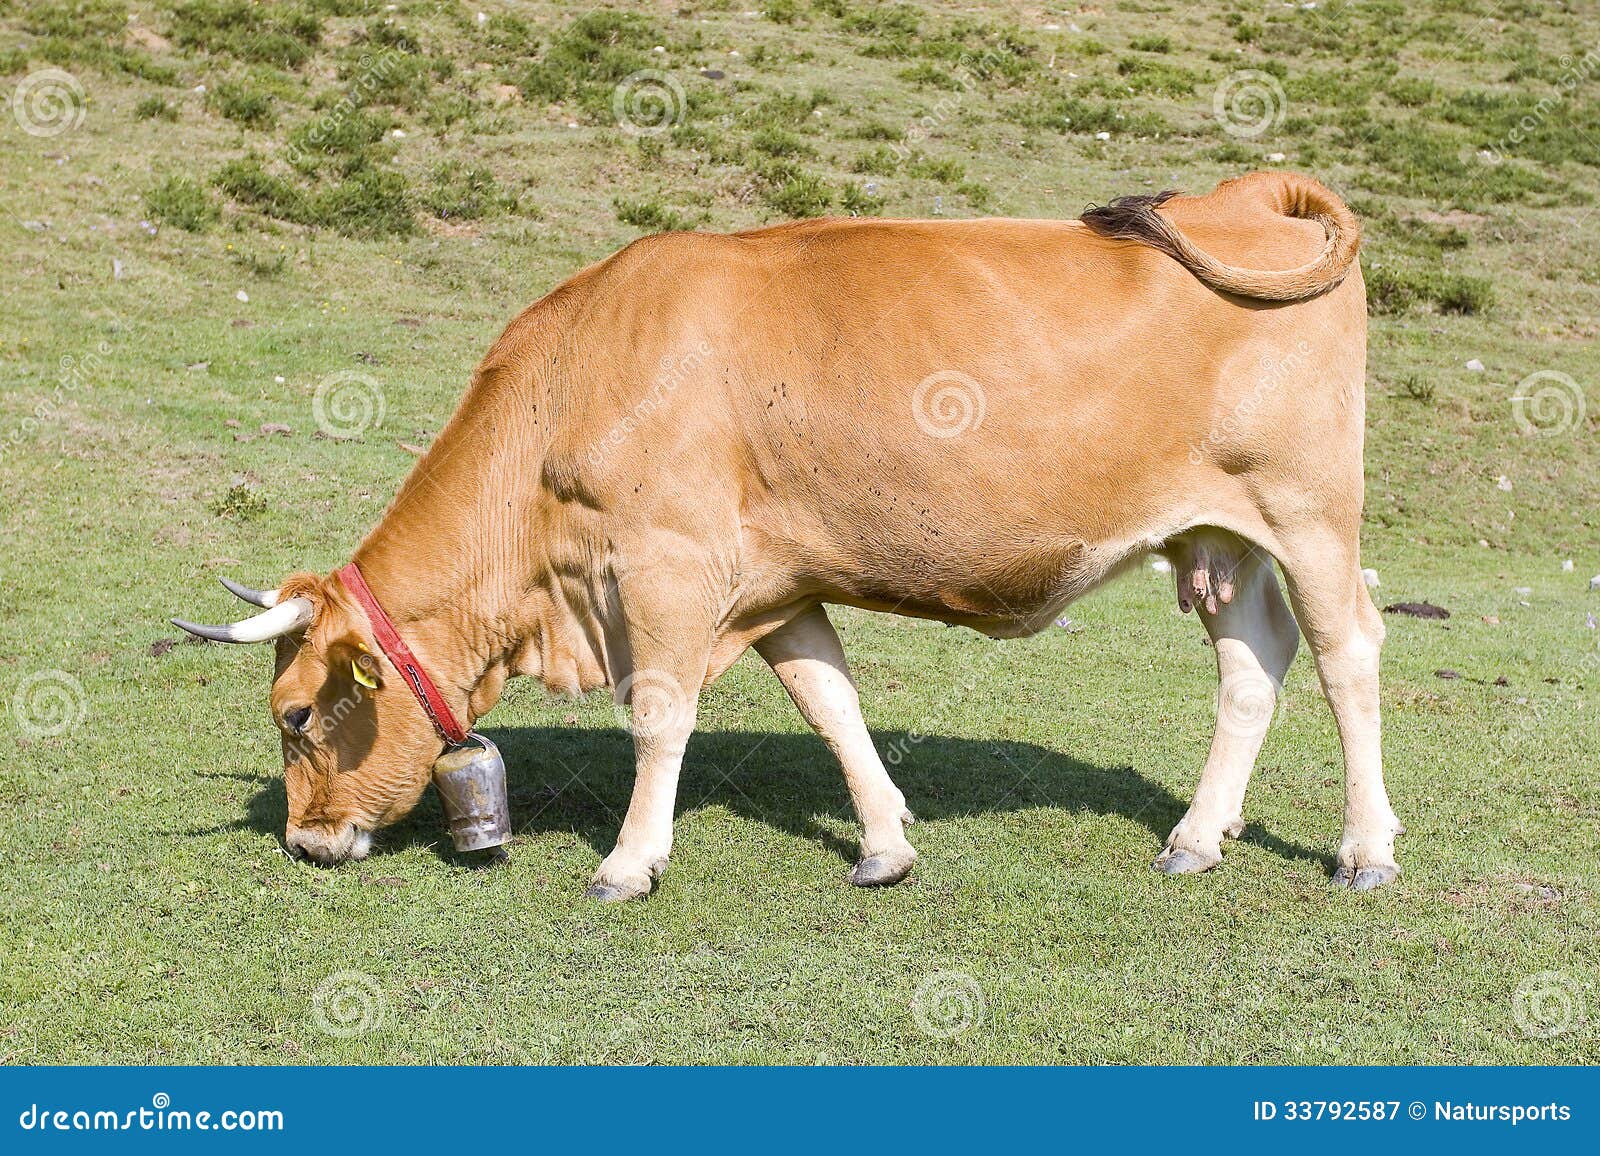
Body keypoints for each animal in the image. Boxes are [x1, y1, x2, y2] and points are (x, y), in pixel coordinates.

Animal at [175, 170, 1403, 900]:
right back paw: (1197, 834)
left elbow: (660, 716)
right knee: (1253, 661)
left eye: (296, 716)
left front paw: (629, 860)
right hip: (1216, 531)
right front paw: (885, 842)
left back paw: (1366, 849)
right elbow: (831, 702)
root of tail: (1247, 189)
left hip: (1310, 511)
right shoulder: (776, 584)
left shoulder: (665, 567)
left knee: (1345, 652)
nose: (305, 841)